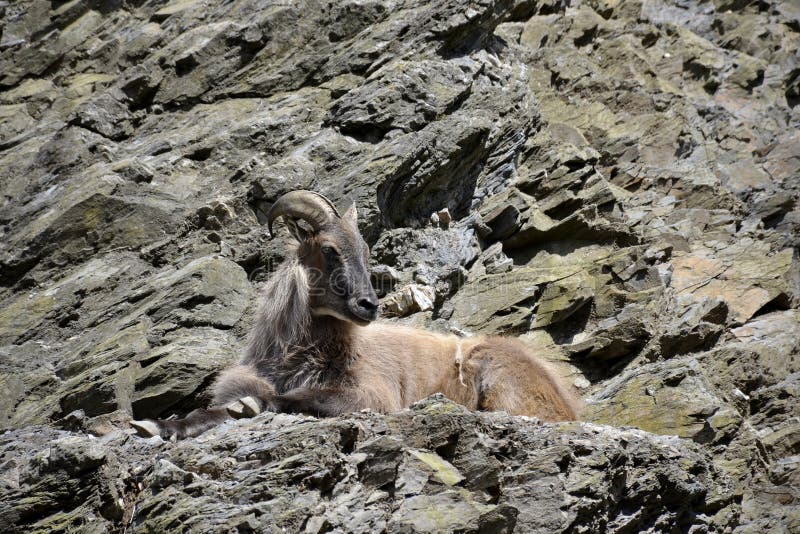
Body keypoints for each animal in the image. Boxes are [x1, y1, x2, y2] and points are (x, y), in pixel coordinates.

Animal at [131, 190, 581, 439]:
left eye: (366, 250)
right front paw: (159, 426)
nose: (369, 305)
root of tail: (565, 401)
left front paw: (251, 406)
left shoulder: (372, 395)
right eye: (330, 249)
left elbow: (294, 398)